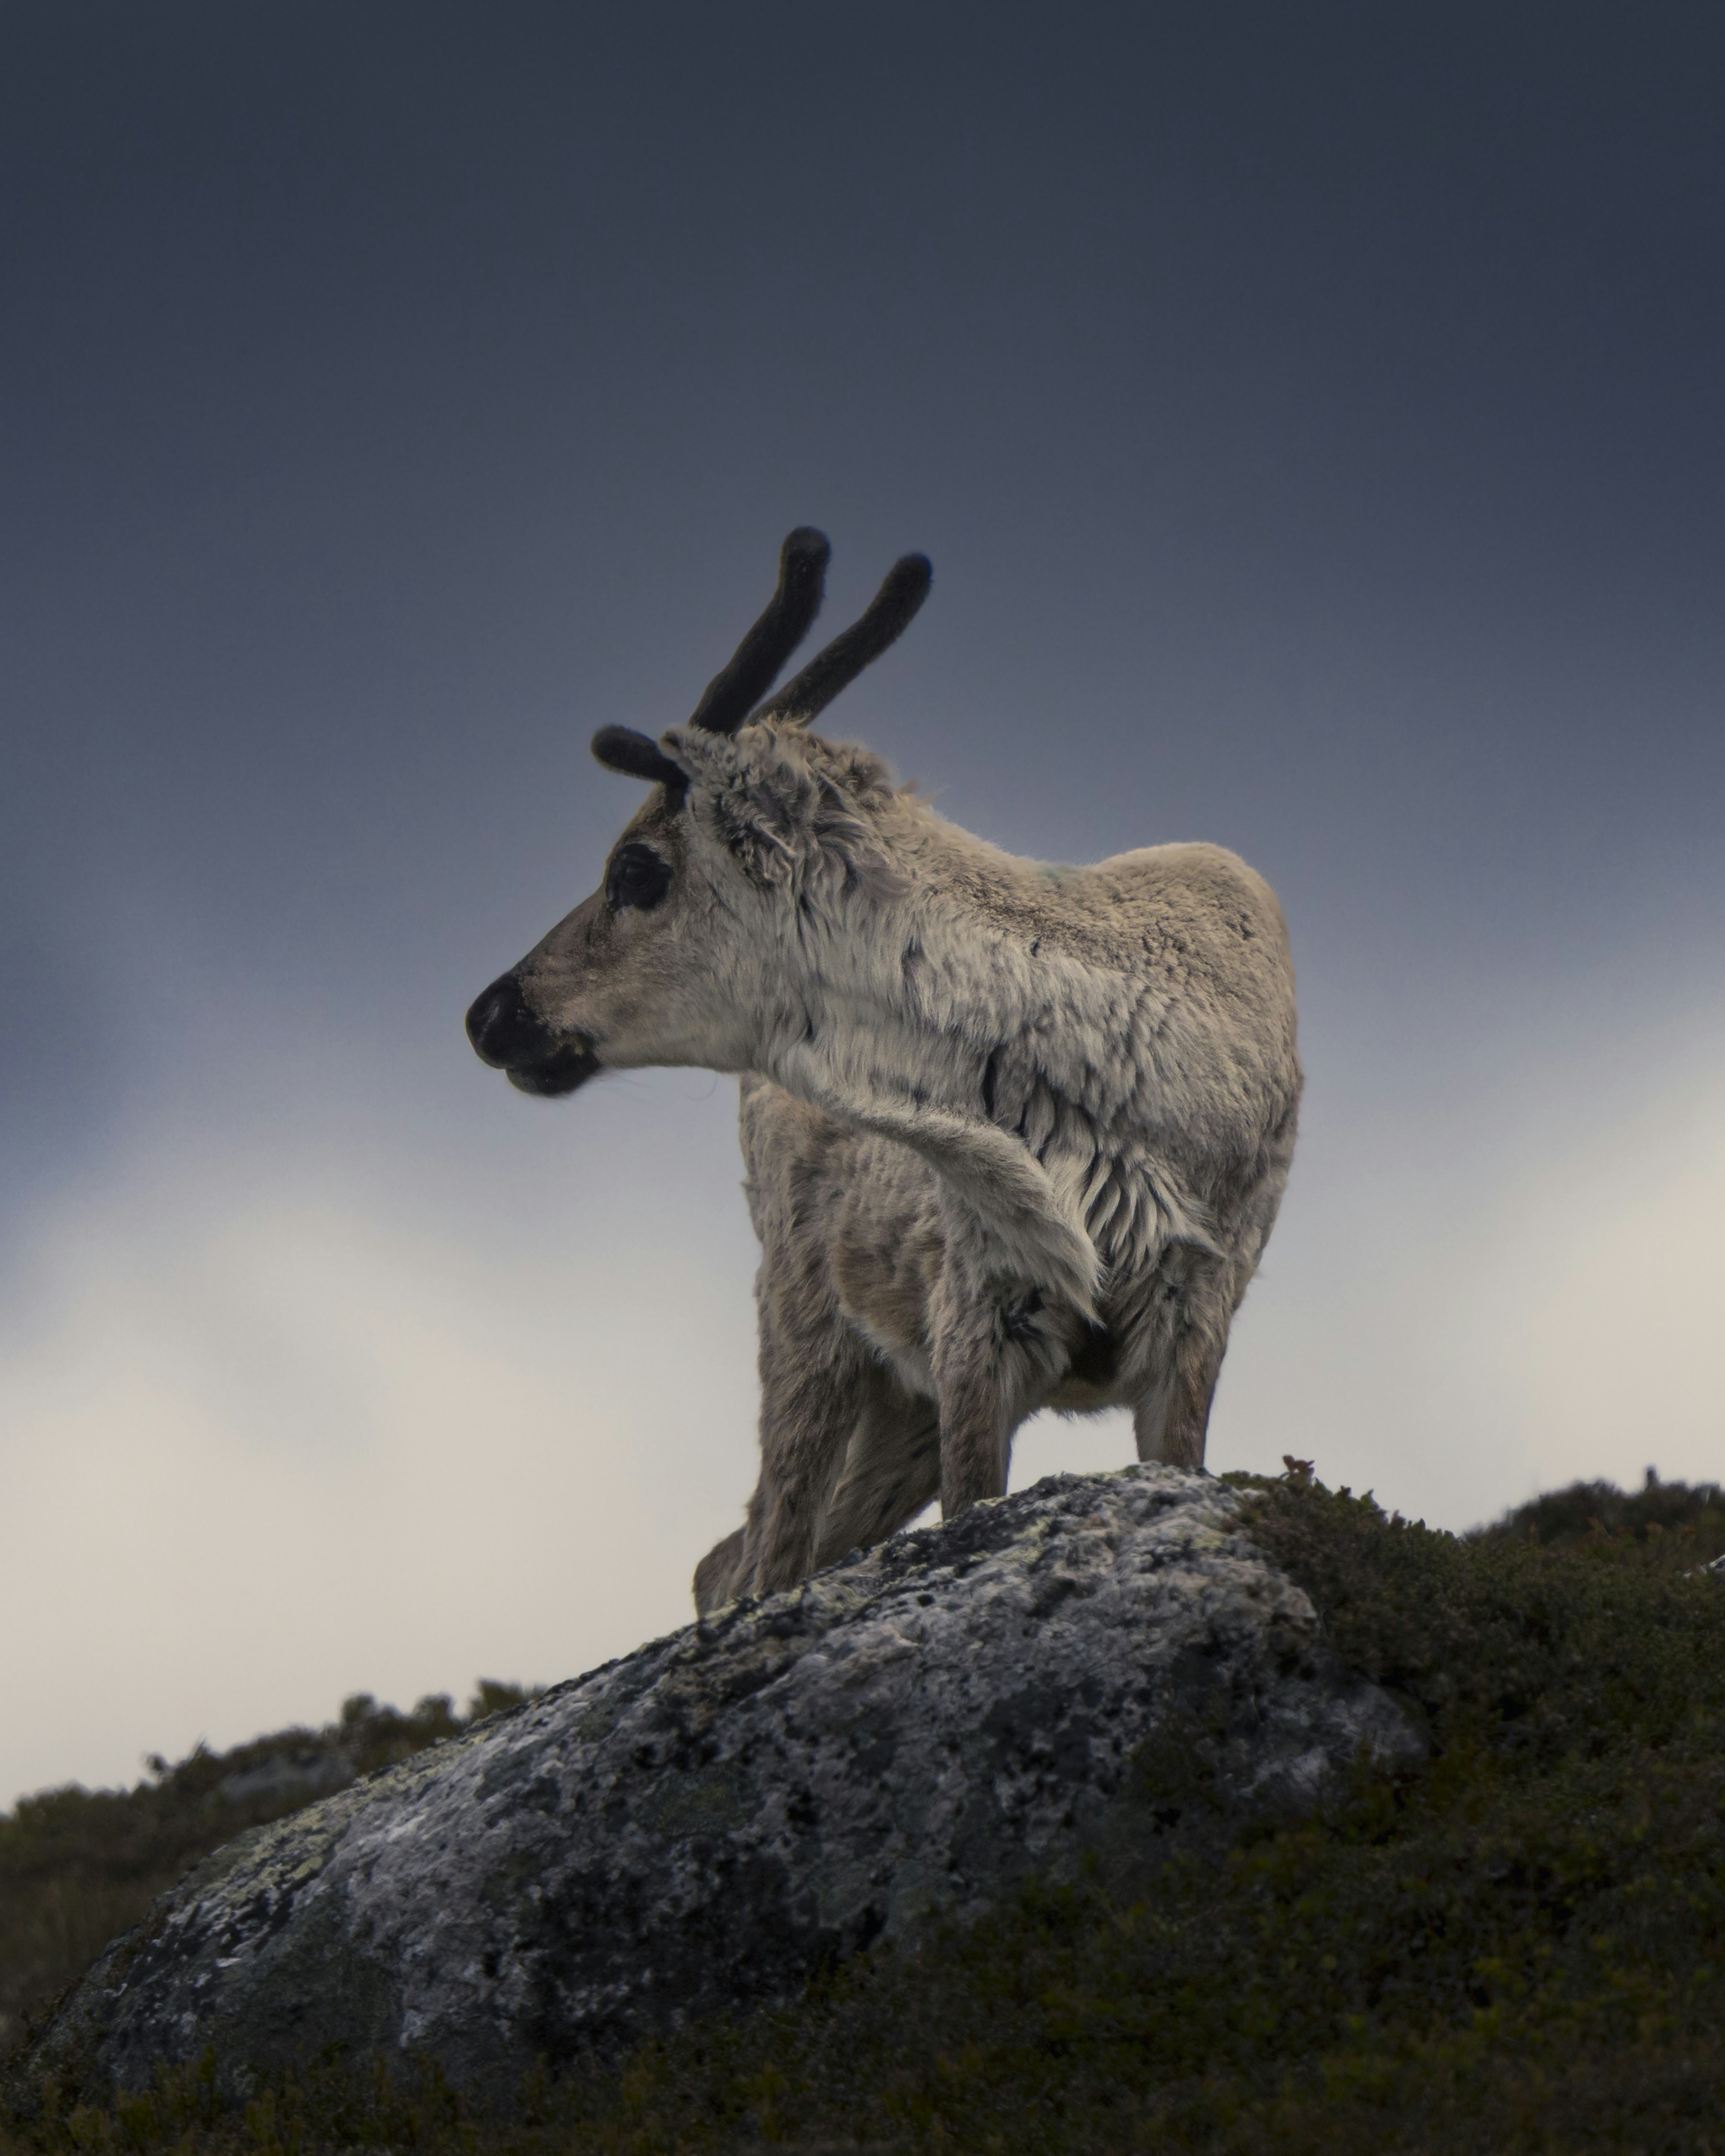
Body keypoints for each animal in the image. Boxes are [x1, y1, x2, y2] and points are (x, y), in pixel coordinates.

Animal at [466, 530, 1301, 1613]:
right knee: (755, 1557)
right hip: (806, 1319)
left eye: (637, 869)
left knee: (738, 1554)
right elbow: (969, 1507)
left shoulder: (1198, 1305)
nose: (492, 1015)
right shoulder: (975, 1311)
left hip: (881, 1393)